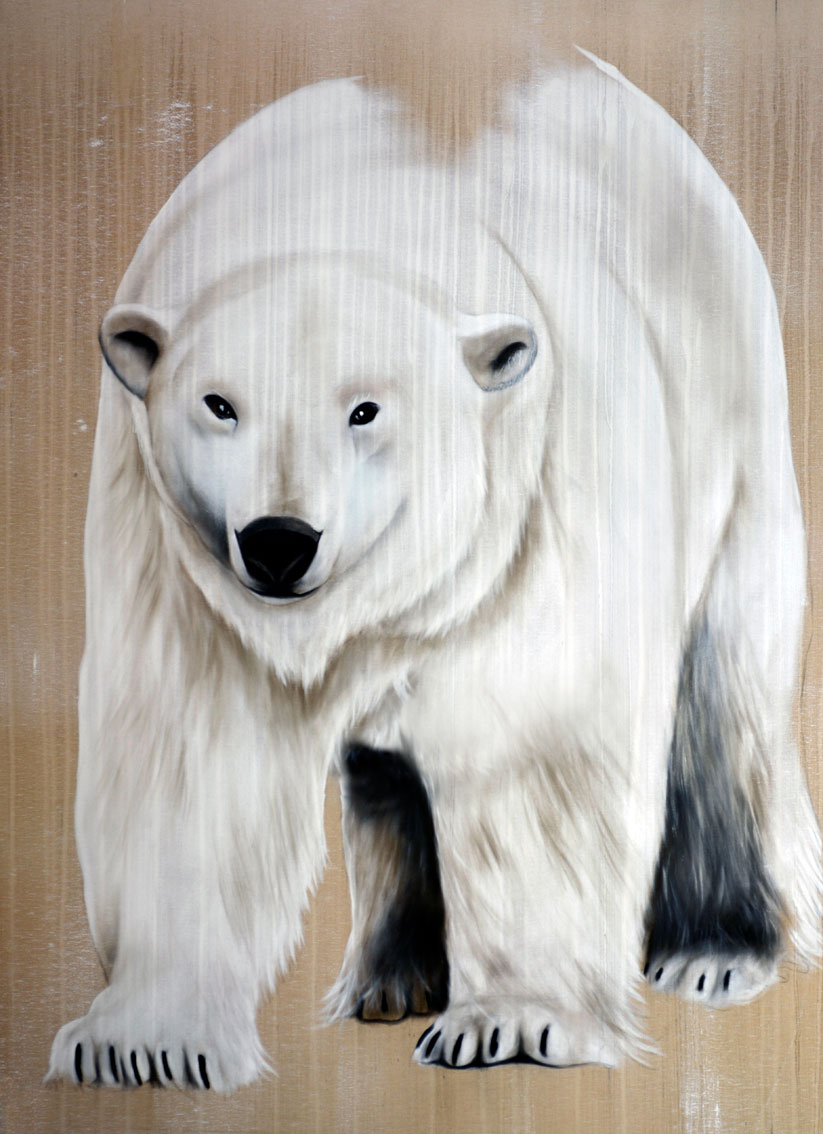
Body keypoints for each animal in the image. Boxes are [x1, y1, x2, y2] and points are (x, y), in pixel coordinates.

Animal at [48, 50, 822, 1091]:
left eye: (365, 410)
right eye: (218, 403)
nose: (279, 540)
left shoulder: (537, 504)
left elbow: (531, 747)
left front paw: (513, 1024)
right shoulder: (172, 556)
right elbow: (191, 755)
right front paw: (139, 1043)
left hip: (736, 428)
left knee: (721, 699)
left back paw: (713, 949)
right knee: (384, 775)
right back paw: (391, 977)